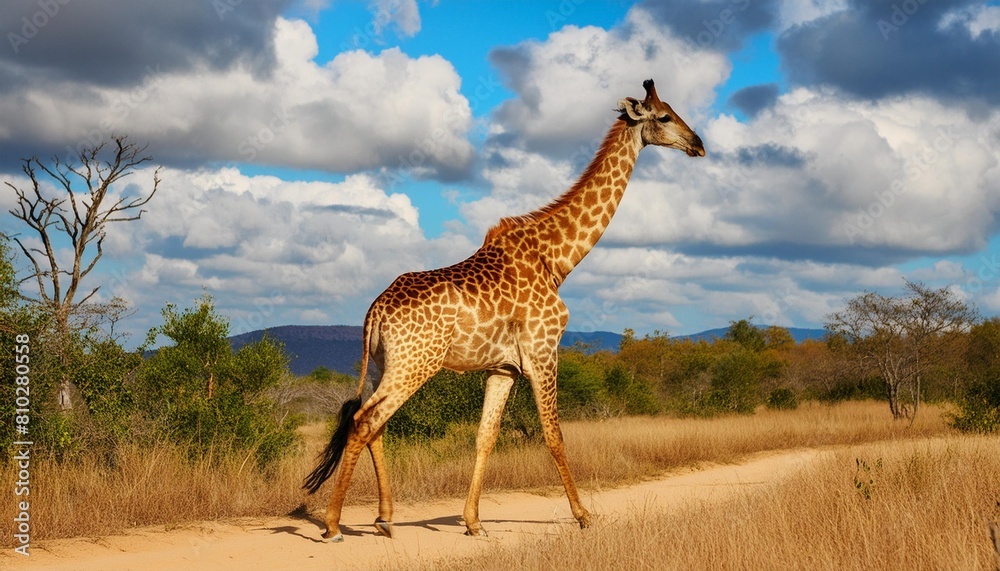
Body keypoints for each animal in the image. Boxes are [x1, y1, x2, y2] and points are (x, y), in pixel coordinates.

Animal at [304, 79, 705, 542]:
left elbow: (485, 436)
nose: (698, 144)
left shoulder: (503, 367)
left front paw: (473, 522)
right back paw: (334, 524)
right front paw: (583, 515)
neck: (558, 259)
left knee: (374, 423)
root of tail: (375, 311)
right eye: (664, 117)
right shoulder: (542, 350)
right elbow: (554, 435)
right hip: (415, 364)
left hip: (386, 364)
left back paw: (385, 518)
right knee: (366, 421)